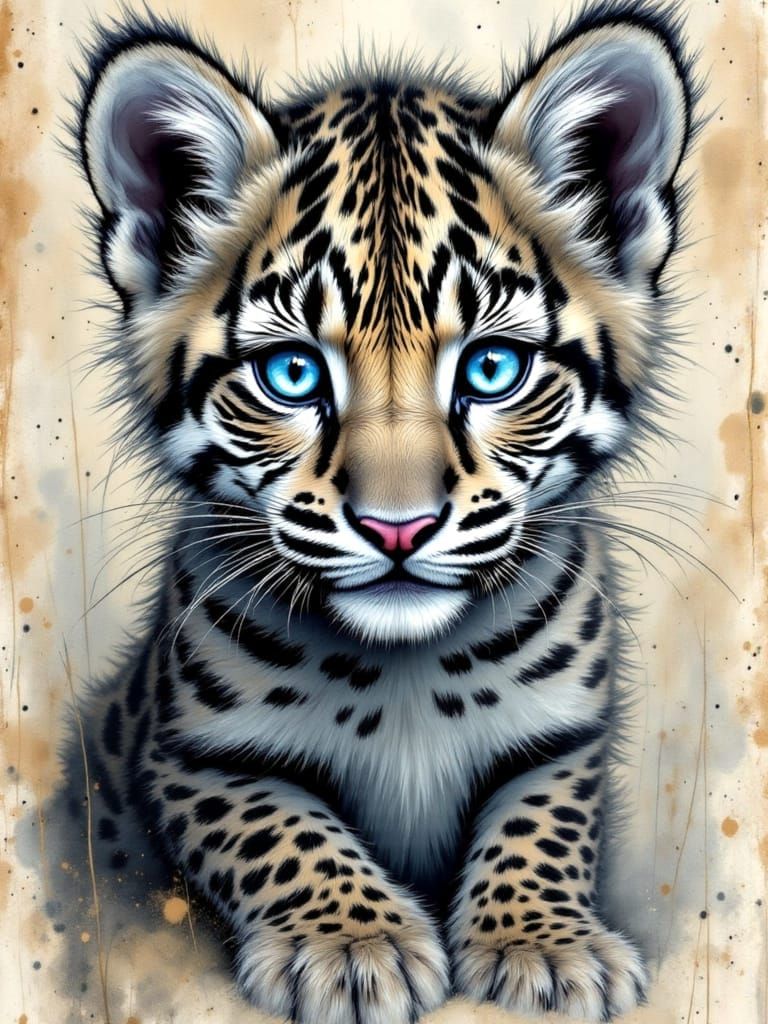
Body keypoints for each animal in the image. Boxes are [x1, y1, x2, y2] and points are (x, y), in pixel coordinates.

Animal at [60, 2, 698, 1020]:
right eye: (292, 374)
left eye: (492, 367)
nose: (398, 529)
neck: (407, 673)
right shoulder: (187, 756)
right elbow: (274, 823)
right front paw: (356, 946)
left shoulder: (567, 737)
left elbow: (543, 819)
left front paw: (546, 945)